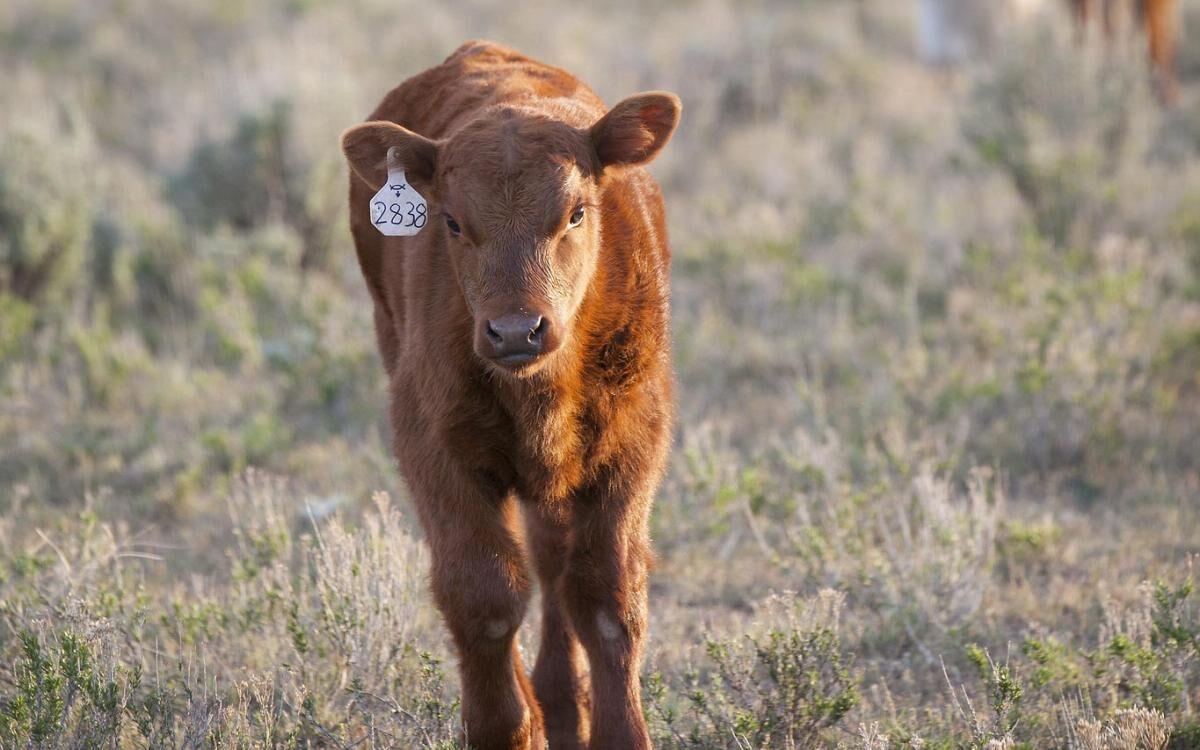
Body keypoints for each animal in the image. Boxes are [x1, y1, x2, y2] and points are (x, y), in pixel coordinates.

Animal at [339, 41, 680, 750]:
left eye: (576, 212)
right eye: (451, 221)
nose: (517, 329)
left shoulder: (634, 440)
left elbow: (607, 594)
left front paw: (617, 731)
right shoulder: (433, 445)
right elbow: (485, 592)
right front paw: (505, 727)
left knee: (554, 559)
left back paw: (563, 703)